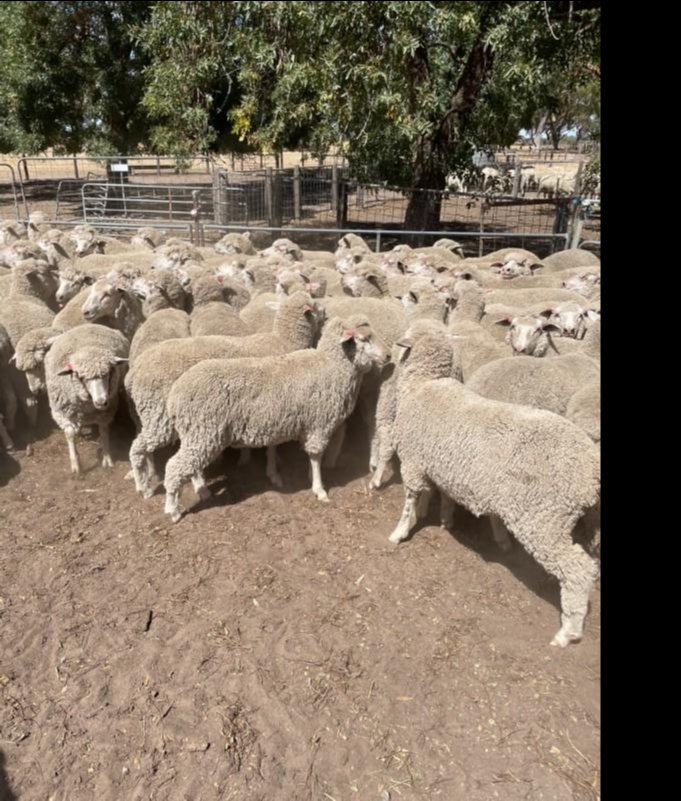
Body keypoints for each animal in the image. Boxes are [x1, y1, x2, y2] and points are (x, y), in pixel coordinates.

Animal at [45, 325, 130, 474]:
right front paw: (75, 464)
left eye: (108, 374)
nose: (101, 402)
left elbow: (104, 431)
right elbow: (69, 434)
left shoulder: (106, 412)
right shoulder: (61, 412)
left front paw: (107, 456)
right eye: (82, 377)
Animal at [126, 292, 325, 497]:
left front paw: (247, 457)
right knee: (140, 448)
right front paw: (273, 472)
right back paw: (149, 486)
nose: (325, 311)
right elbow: (272, 445)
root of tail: (135, 370)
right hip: (160, 414)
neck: (283, 341)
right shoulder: (275, 403)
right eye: (314, 304)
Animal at [163, 316, 391, 522]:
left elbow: (285, 452)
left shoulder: (293, 423)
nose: (388, 355)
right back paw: (173, 509)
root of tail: (175, 394)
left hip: (196, 433)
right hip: (204, 431)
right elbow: (316, 456)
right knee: (174, 466)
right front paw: (319, 489)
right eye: (364, 338)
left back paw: (201, 490)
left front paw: (297, 474)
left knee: (189, 465)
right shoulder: (319, 424)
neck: (331, 366)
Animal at [386, 330, 601, 647]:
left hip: (545, 518)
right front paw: (443, 519)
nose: (389, 354)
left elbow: (410, 498)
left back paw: (568, 632)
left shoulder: (412, 459)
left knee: (579, 569)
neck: (423, 385)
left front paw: (400, 531)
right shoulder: (441, 463)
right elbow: (440, 493)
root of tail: (591, 468)